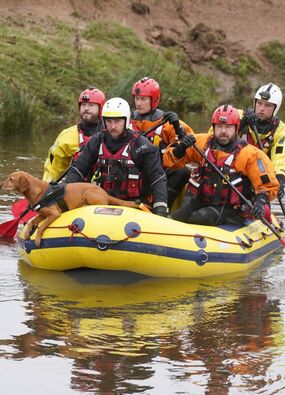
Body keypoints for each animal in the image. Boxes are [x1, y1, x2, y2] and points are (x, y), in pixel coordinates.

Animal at [0, 171, 141, 248]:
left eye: (11, 179)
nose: (0, 184)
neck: (39, 192)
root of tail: (105, 193)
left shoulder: (54, 214)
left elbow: (41, 227)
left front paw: (38, 240)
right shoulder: (42, 214)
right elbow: (31, 222)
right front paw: (28, 232)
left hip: (89, 195)